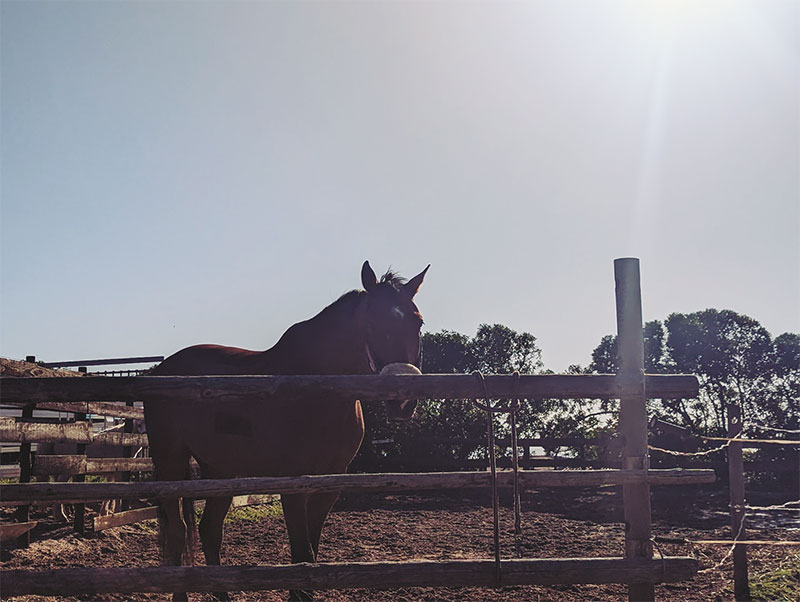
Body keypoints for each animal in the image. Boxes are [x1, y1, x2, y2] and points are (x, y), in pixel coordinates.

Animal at [144, 261, 428, 601]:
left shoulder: (329, 485)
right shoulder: (293, 485)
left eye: (418, 323)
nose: (404, 399)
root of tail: (161, 370)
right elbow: (300, 553)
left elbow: (310, 554)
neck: (319, 390)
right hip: (170, 462)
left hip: (221, 470)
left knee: (209, 530)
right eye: (372, 323)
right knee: (178, 532)